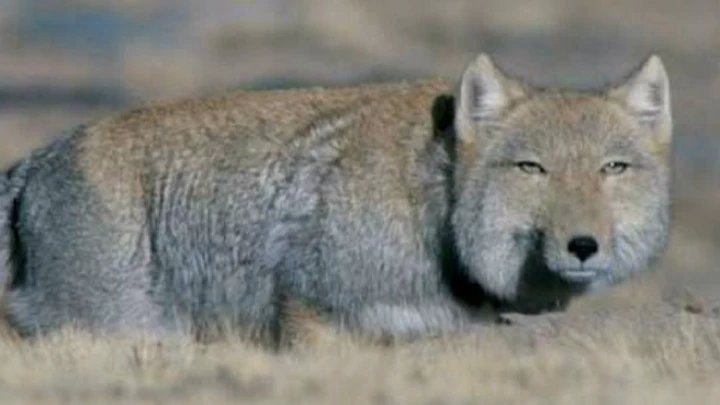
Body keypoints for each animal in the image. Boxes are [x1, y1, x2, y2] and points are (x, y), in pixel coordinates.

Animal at [0, 54, 672, 345]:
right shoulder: (313, 313)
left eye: (613, 169)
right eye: (532, 168)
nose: (582, 246)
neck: (430, 211)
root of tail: (39, 158)